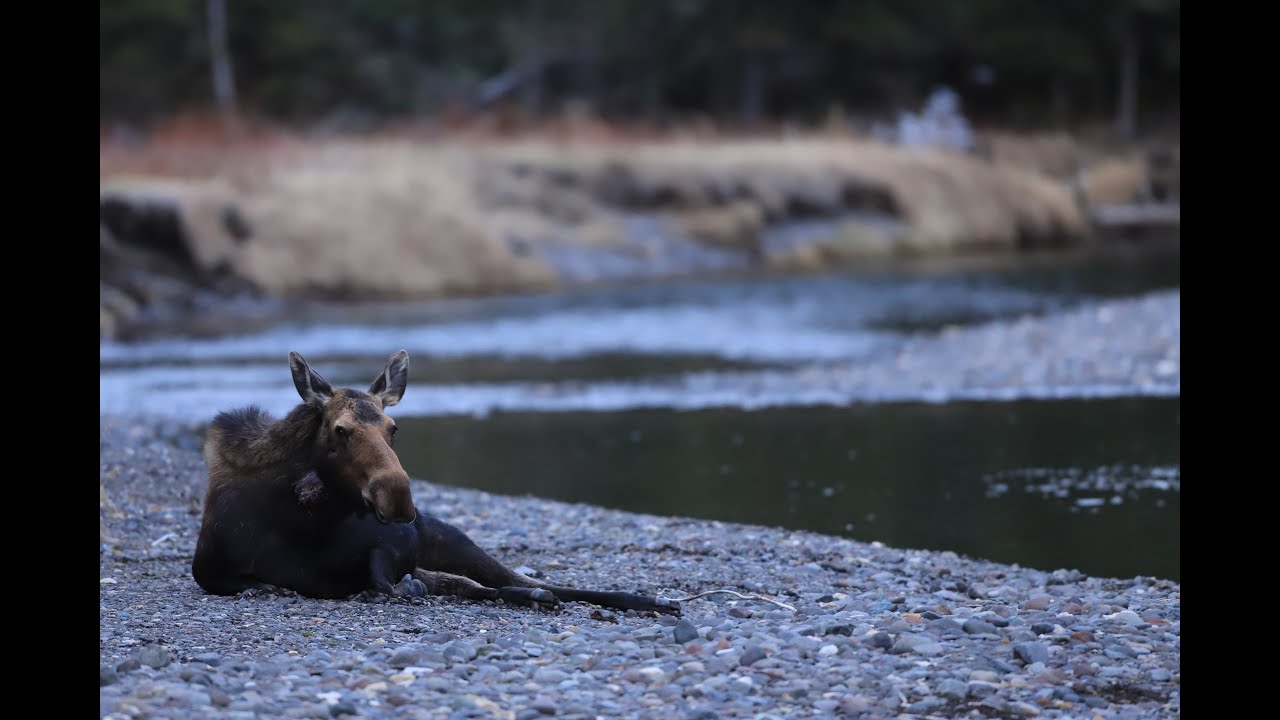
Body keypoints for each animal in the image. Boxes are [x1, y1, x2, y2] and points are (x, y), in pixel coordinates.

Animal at [191, 350, 679, 615]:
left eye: (393, 428)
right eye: (340, 430)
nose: (398, 497)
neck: (293, 521)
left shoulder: (392, 545)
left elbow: (386, 575)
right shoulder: (209, 569)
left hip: (452, 538)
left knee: (513, 580)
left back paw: (648, 600)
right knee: (481, 586)